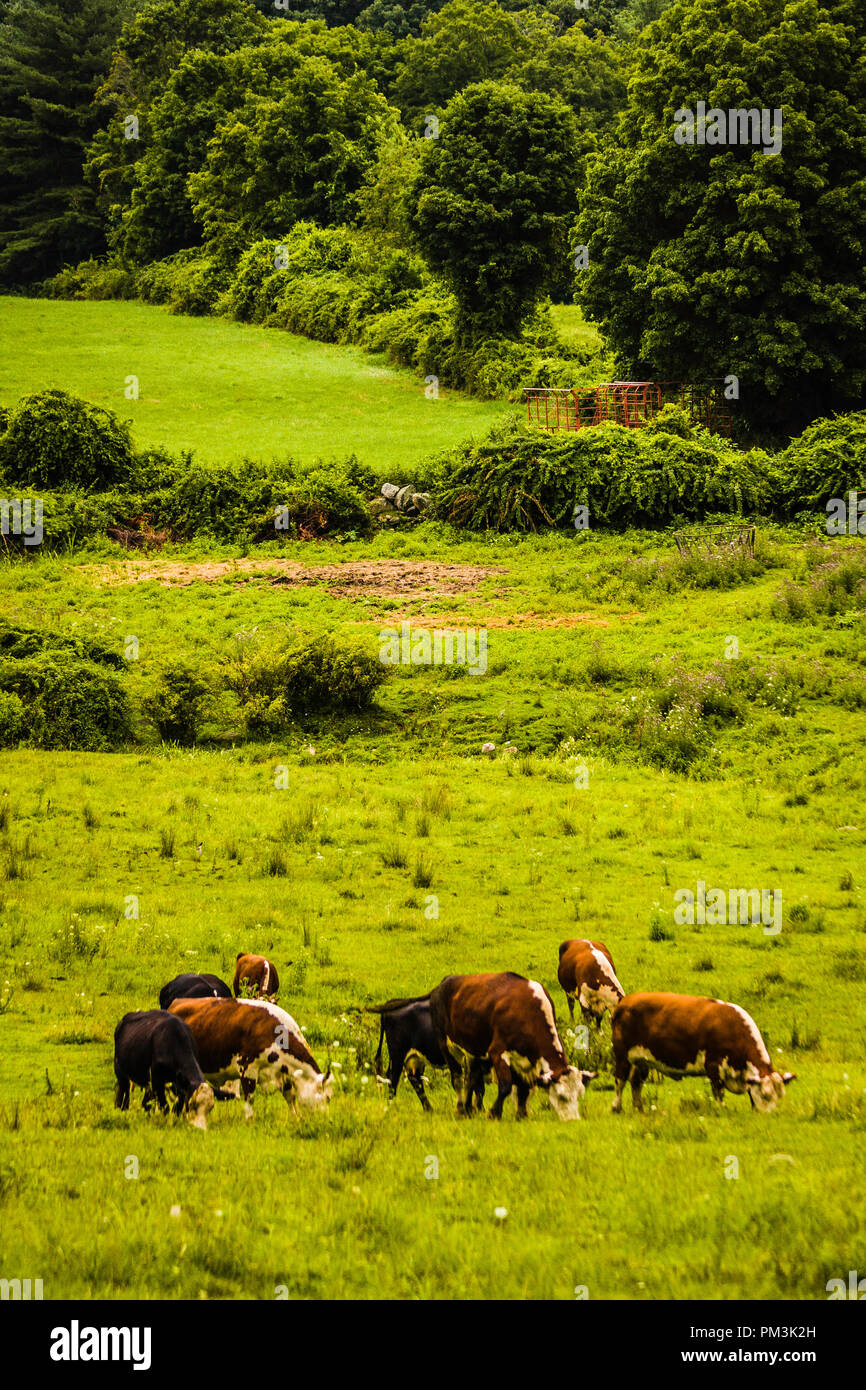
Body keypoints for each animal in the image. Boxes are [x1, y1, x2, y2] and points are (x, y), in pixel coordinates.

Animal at [168, 997, 331, 1116]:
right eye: (328, 1098)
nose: (325, 1119)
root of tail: (177, 1002)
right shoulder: (247, 1068)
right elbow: (249, 1098)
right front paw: (249, 1120)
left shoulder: (283, 1073)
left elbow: (290, 1096)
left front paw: (296, 1117)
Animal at [429, 972, 596, 1120]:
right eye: (562, 1097)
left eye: (580, 1094)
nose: (573, 1119)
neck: (527, 1011)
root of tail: (445, 981)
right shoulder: (497, 1052)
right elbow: (506, 1086)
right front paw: (494, 1113)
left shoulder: (525, 1061)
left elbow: (523, 1089)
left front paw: (522, 1115)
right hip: (446, 1046)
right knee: (457, 1079)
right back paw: (460, 1108)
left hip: (474, 1051)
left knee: (472, 1078)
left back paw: (469, 1109)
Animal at [611, 992, 796, 1114]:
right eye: (765, 1095)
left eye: (780, 1096)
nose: (771, 1115)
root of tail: (626, 1001)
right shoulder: (714, 1065)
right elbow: (718, 1092)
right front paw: (721, 1110)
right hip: (622, 1056)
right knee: (620, 1081)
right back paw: (616, 1107)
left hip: (642, 1060)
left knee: (636, 1082)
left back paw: (639, 1108)